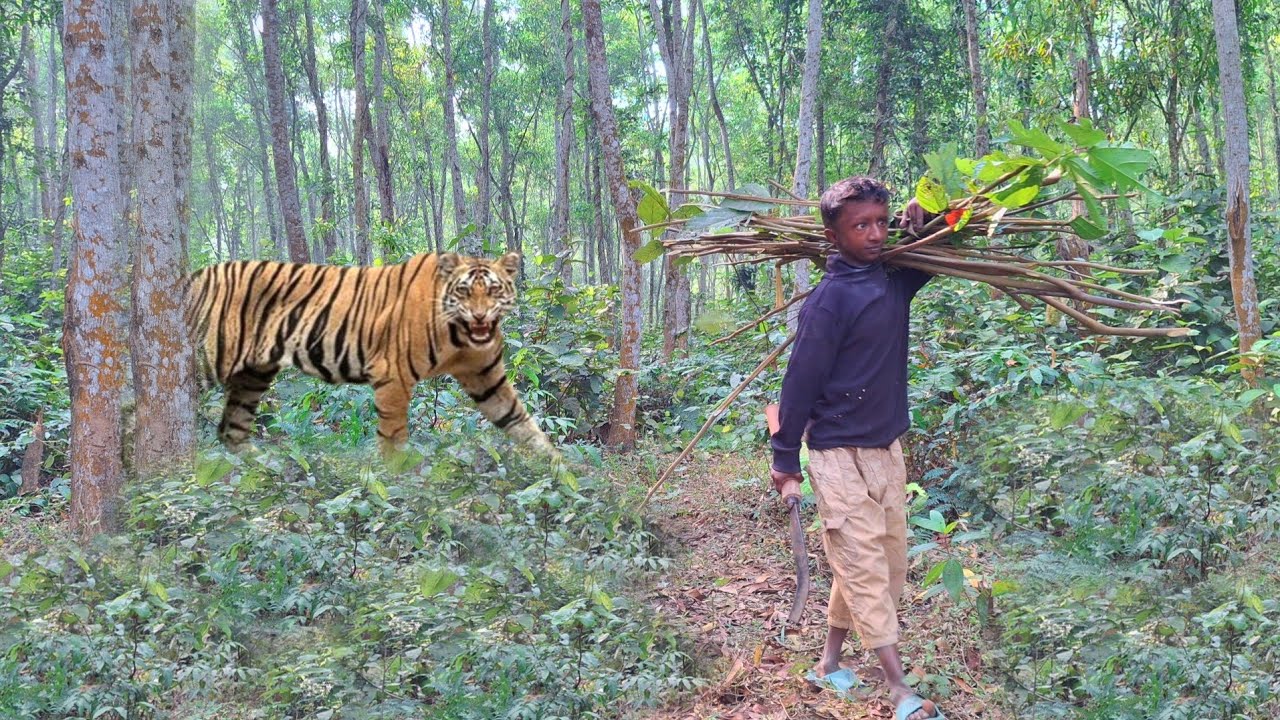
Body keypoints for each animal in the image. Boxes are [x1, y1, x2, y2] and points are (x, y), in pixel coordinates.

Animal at [185, 251, 557, 458]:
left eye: (494, 289)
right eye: (464, 291)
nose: (480, 316)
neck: (462, 337)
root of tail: (193, 276)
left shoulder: (487, 379)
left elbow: (522, 424)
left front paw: (560, 474)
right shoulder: (392, 375)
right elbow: (393, 437)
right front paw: (399, 484)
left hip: (254, 374)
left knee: (231, 429)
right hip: (207, 358)